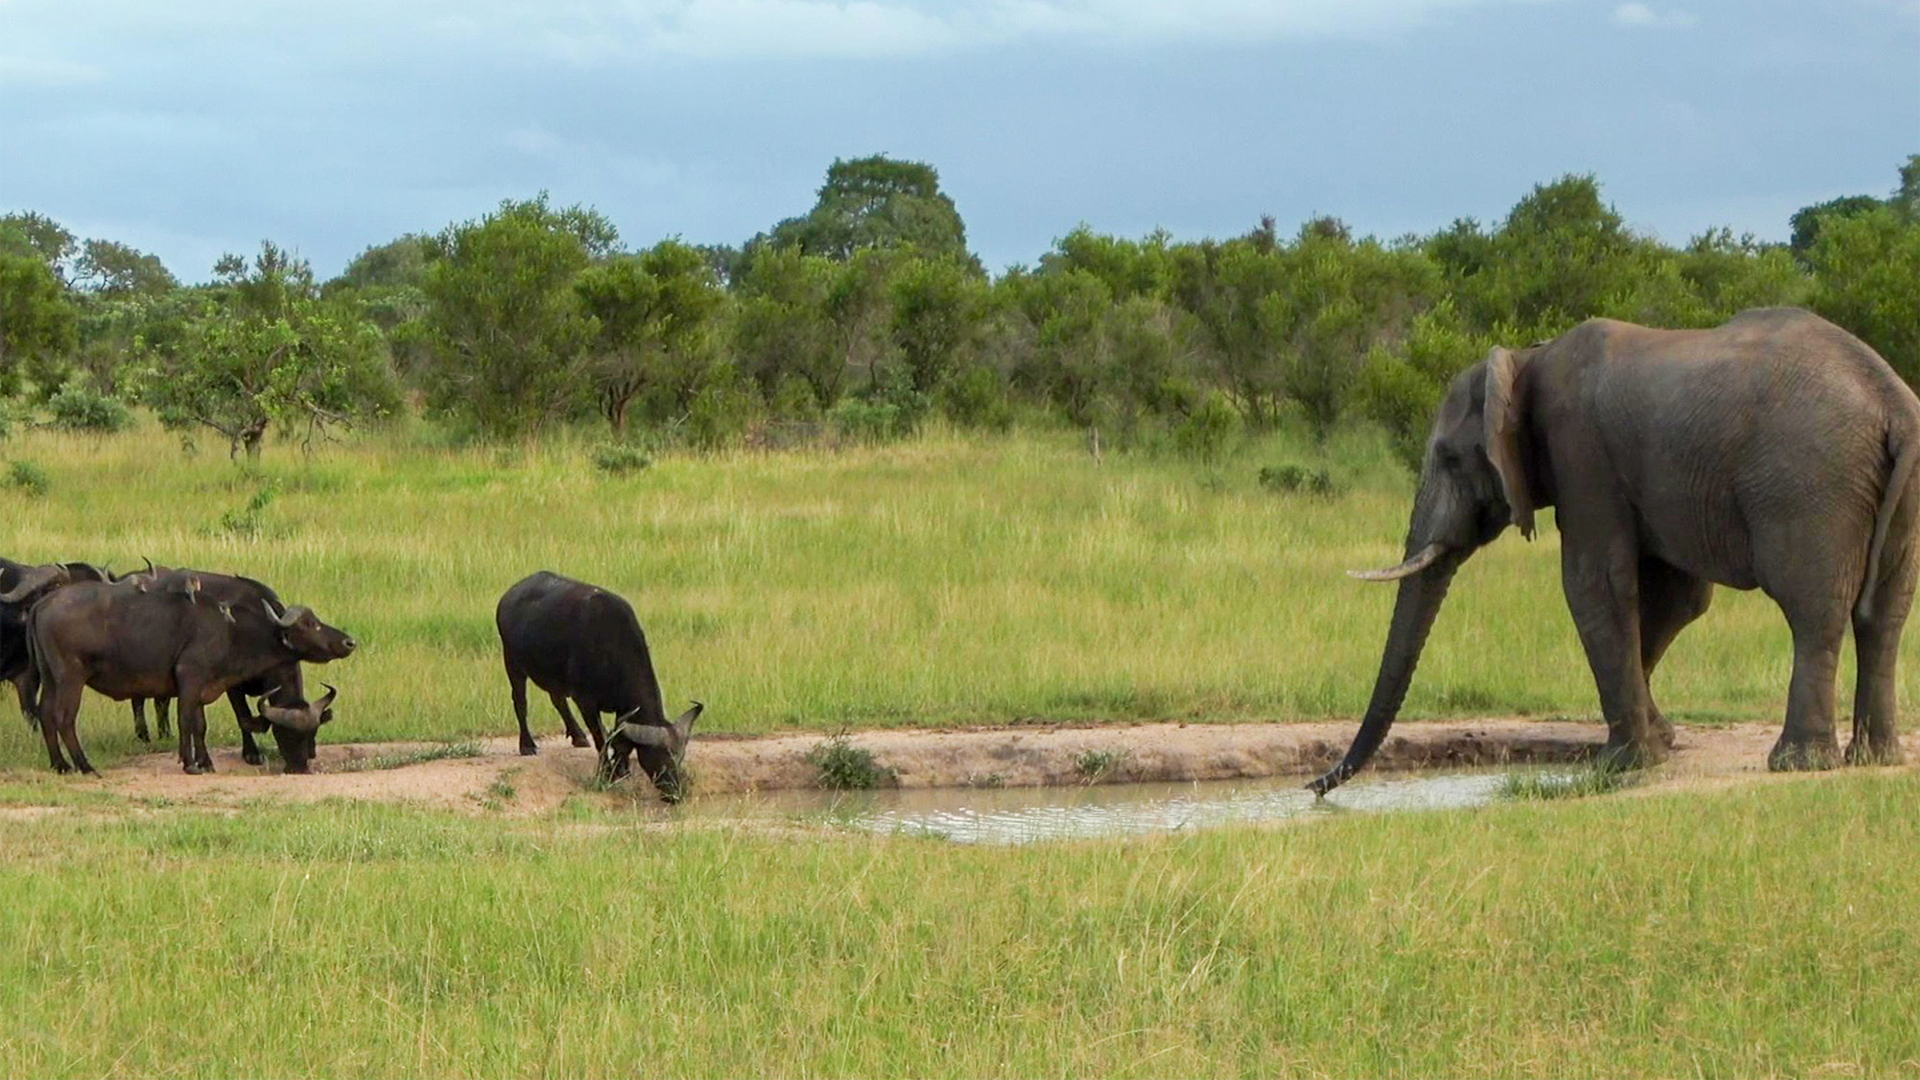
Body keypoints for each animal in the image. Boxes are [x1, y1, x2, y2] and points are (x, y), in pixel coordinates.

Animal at [30, 570, 355, 774]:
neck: (231, 631)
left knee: (45, 713)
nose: (349, 642)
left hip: (50, 677)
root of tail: (43, 603)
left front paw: (206, 762)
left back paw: (60, 765)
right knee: (64, 717)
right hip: (70, 677)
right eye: (310, 624)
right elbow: (186, 720)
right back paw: (85, 766)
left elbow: (199, 724)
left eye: (312, 733)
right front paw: (189, 764)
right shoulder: (191, 678)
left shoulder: (204, 685)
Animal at [496, 571, 702, 801]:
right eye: (660, 757)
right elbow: (601, 737)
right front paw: (606, 772)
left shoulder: (624, 708)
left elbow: (621, 740)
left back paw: (578, 736)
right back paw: (527, 744)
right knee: (520, 702)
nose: (676, 792)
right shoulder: (585, 701)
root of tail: (508, 597)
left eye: (680, 756)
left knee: (557, 699)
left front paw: (621, 769)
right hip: (513, 663)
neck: (611, 648)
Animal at [1310, 307, 1920, 795]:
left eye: (1449, 458)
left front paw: (1619, 765)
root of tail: (1894, 403)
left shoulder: (1581, 452)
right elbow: (1677, 600)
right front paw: (1661, 741)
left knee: (1813, 612)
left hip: (1810, 485)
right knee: (1883, 615)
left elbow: (1593, 585)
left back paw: (1798, 764)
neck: (1529, 357)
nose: (1316, 787)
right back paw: (1873, 757)